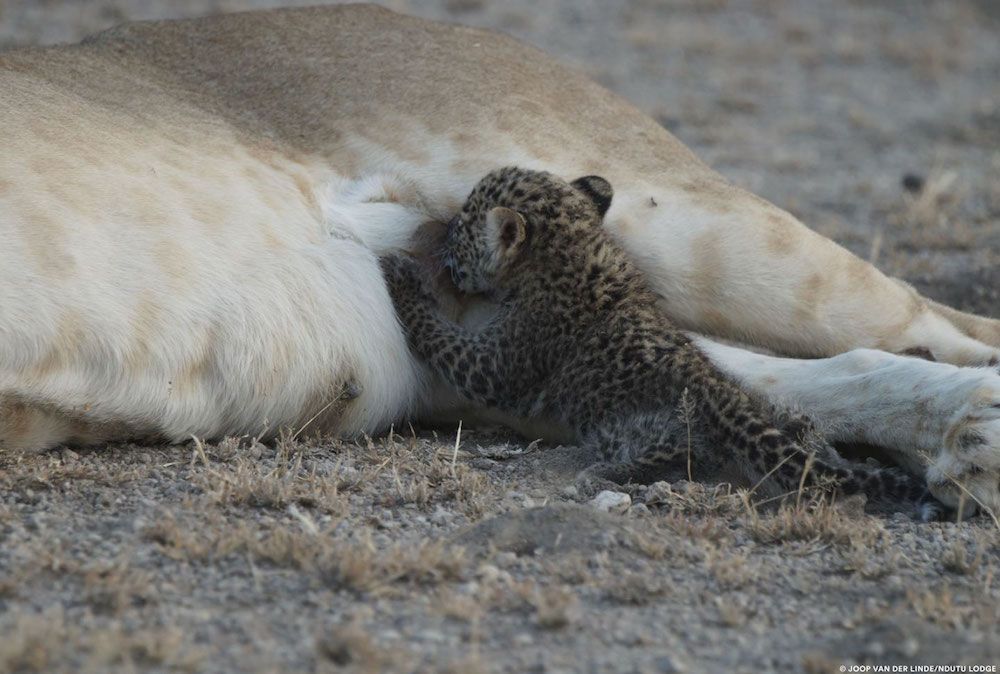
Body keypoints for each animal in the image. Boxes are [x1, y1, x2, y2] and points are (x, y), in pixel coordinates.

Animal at [382, 167, 930, 510]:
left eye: (462, 228)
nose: (441, 231)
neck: (574, 247)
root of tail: (726, 399)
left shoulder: (503, 361)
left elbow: (444, 340)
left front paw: (398, 276)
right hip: (776, 413)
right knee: (804, 430)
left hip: (645, 428)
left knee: (676, 456)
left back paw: (604, 475)